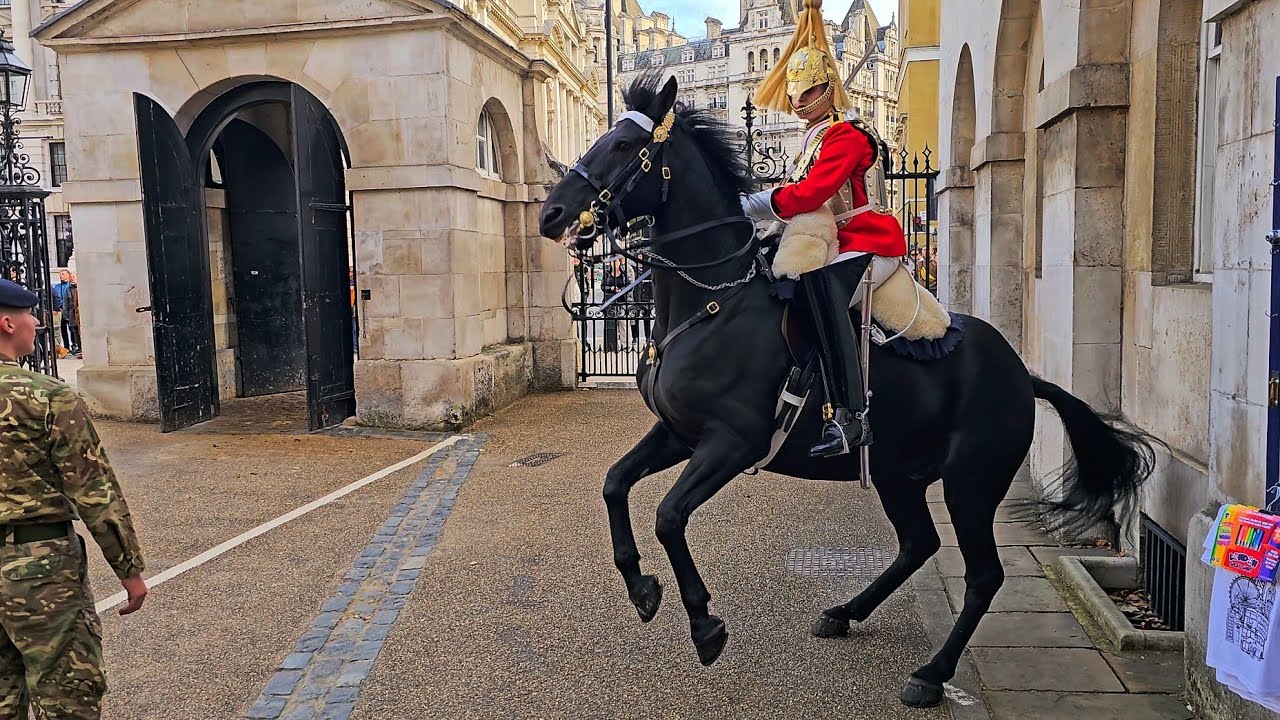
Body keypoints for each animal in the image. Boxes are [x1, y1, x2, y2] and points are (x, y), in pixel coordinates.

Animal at [537, 74, 1155, 708]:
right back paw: (845, 612)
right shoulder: (679, 433)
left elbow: (668, 515)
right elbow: (615, 484)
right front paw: (641, 587)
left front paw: (704, 624)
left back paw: (932, 673)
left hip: (971, 483)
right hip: (897, 472)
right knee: (918, 544)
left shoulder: (731, 443)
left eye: (621, 146)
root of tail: (1020, 372)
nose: (553, 212)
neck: (714, 302)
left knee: (984, 575)